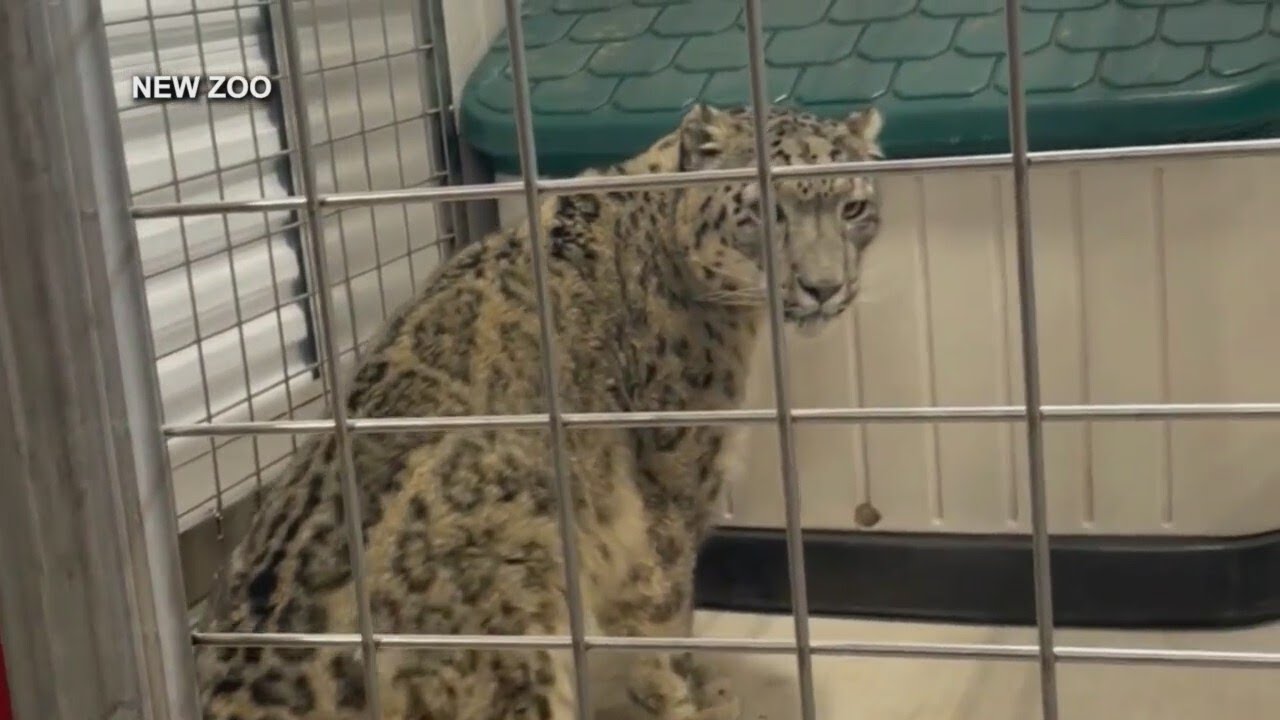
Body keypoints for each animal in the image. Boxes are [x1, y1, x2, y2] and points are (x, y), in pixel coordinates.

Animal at [195, 101, 885, 720]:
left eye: (854, 207)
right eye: (764, 209)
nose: (825, 287)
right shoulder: (677, 477)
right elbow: (666, 605)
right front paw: (688, 694)